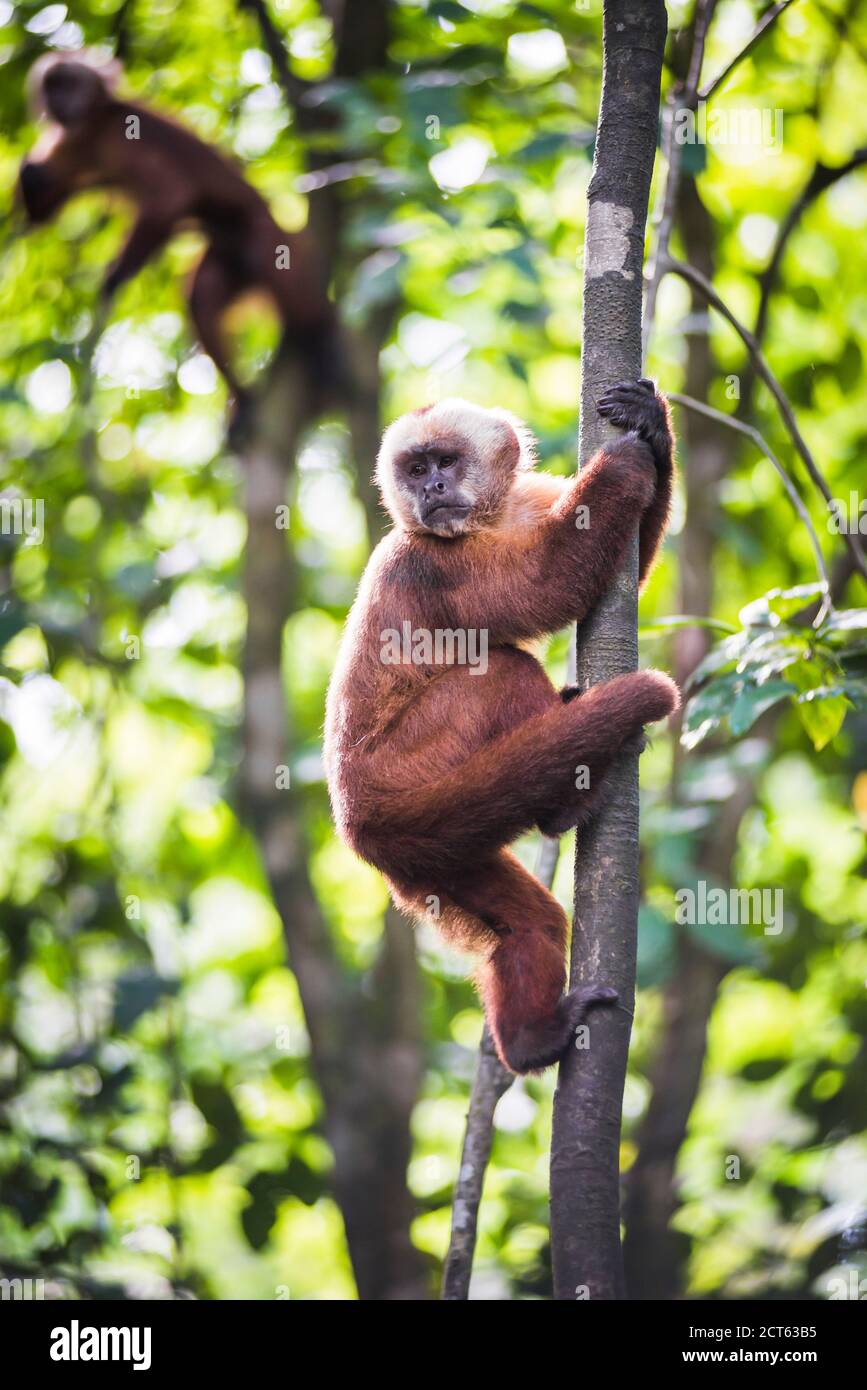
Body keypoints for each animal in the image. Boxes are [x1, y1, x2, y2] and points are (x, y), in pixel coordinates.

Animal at [17, 52, 338, 436]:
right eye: (52, 87)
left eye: (69, 84)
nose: (60, 101)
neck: (93, 127)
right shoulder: (69, 143)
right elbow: (44, 206)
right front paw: (29, 181)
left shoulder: (119, 135)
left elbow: (171, 195)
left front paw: (116, 277)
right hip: (228, 259)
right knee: (202, 299)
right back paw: (243, 397)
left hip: (266, 236)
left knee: (290, 290)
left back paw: (321, 336)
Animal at [324, 378, 680, 1075]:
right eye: (415, 470)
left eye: (444, 462)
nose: (432, 489)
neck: (488, 521)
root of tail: (354, 817)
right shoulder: (431, 562)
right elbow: (548, 587)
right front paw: (625, 465)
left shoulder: (529, 499)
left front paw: (651, 425)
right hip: (402, 770)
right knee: (502, 672)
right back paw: (565, 806)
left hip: (432, 859)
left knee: (528, 922)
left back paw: (528, 1039)